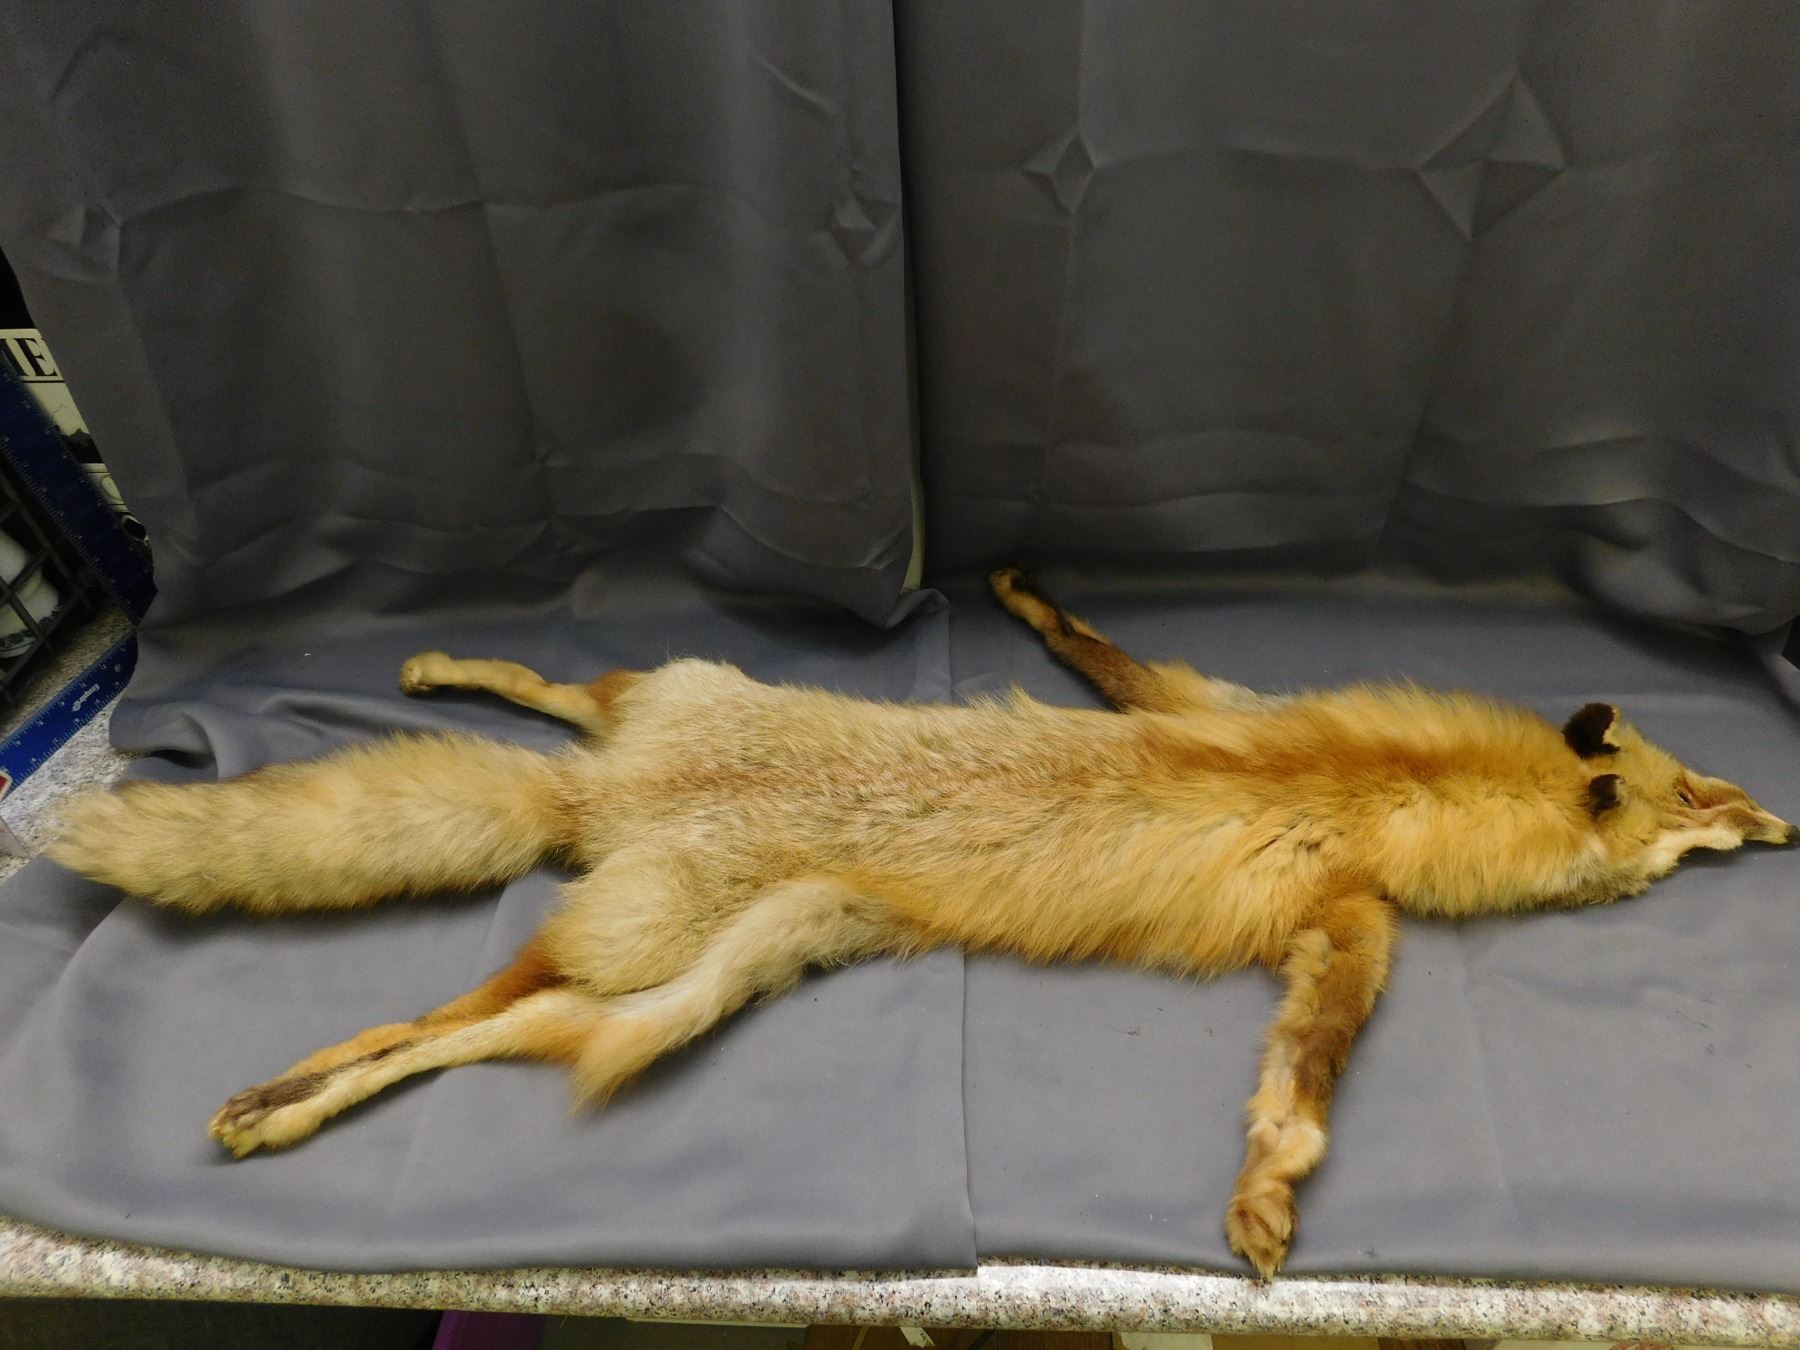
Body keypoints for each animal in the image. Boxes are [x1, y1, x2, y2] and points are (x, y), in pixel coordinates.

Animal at [45, 567, 1794, 1278]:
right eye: (1692, 795)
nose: (1773, 820)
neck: (1377, 776)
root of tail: (601, 806)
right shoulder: (1342, 919)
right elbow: (1302, 1087)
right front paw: (1264, 1203)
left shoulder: (1218, 708)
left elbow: (1100, 648)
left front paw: (1019, 596)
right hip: (653, 948)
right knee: (448, 1020)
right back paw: (283, 1098)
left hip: (698, 926)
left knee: (549, 738)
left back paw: (436, 672)